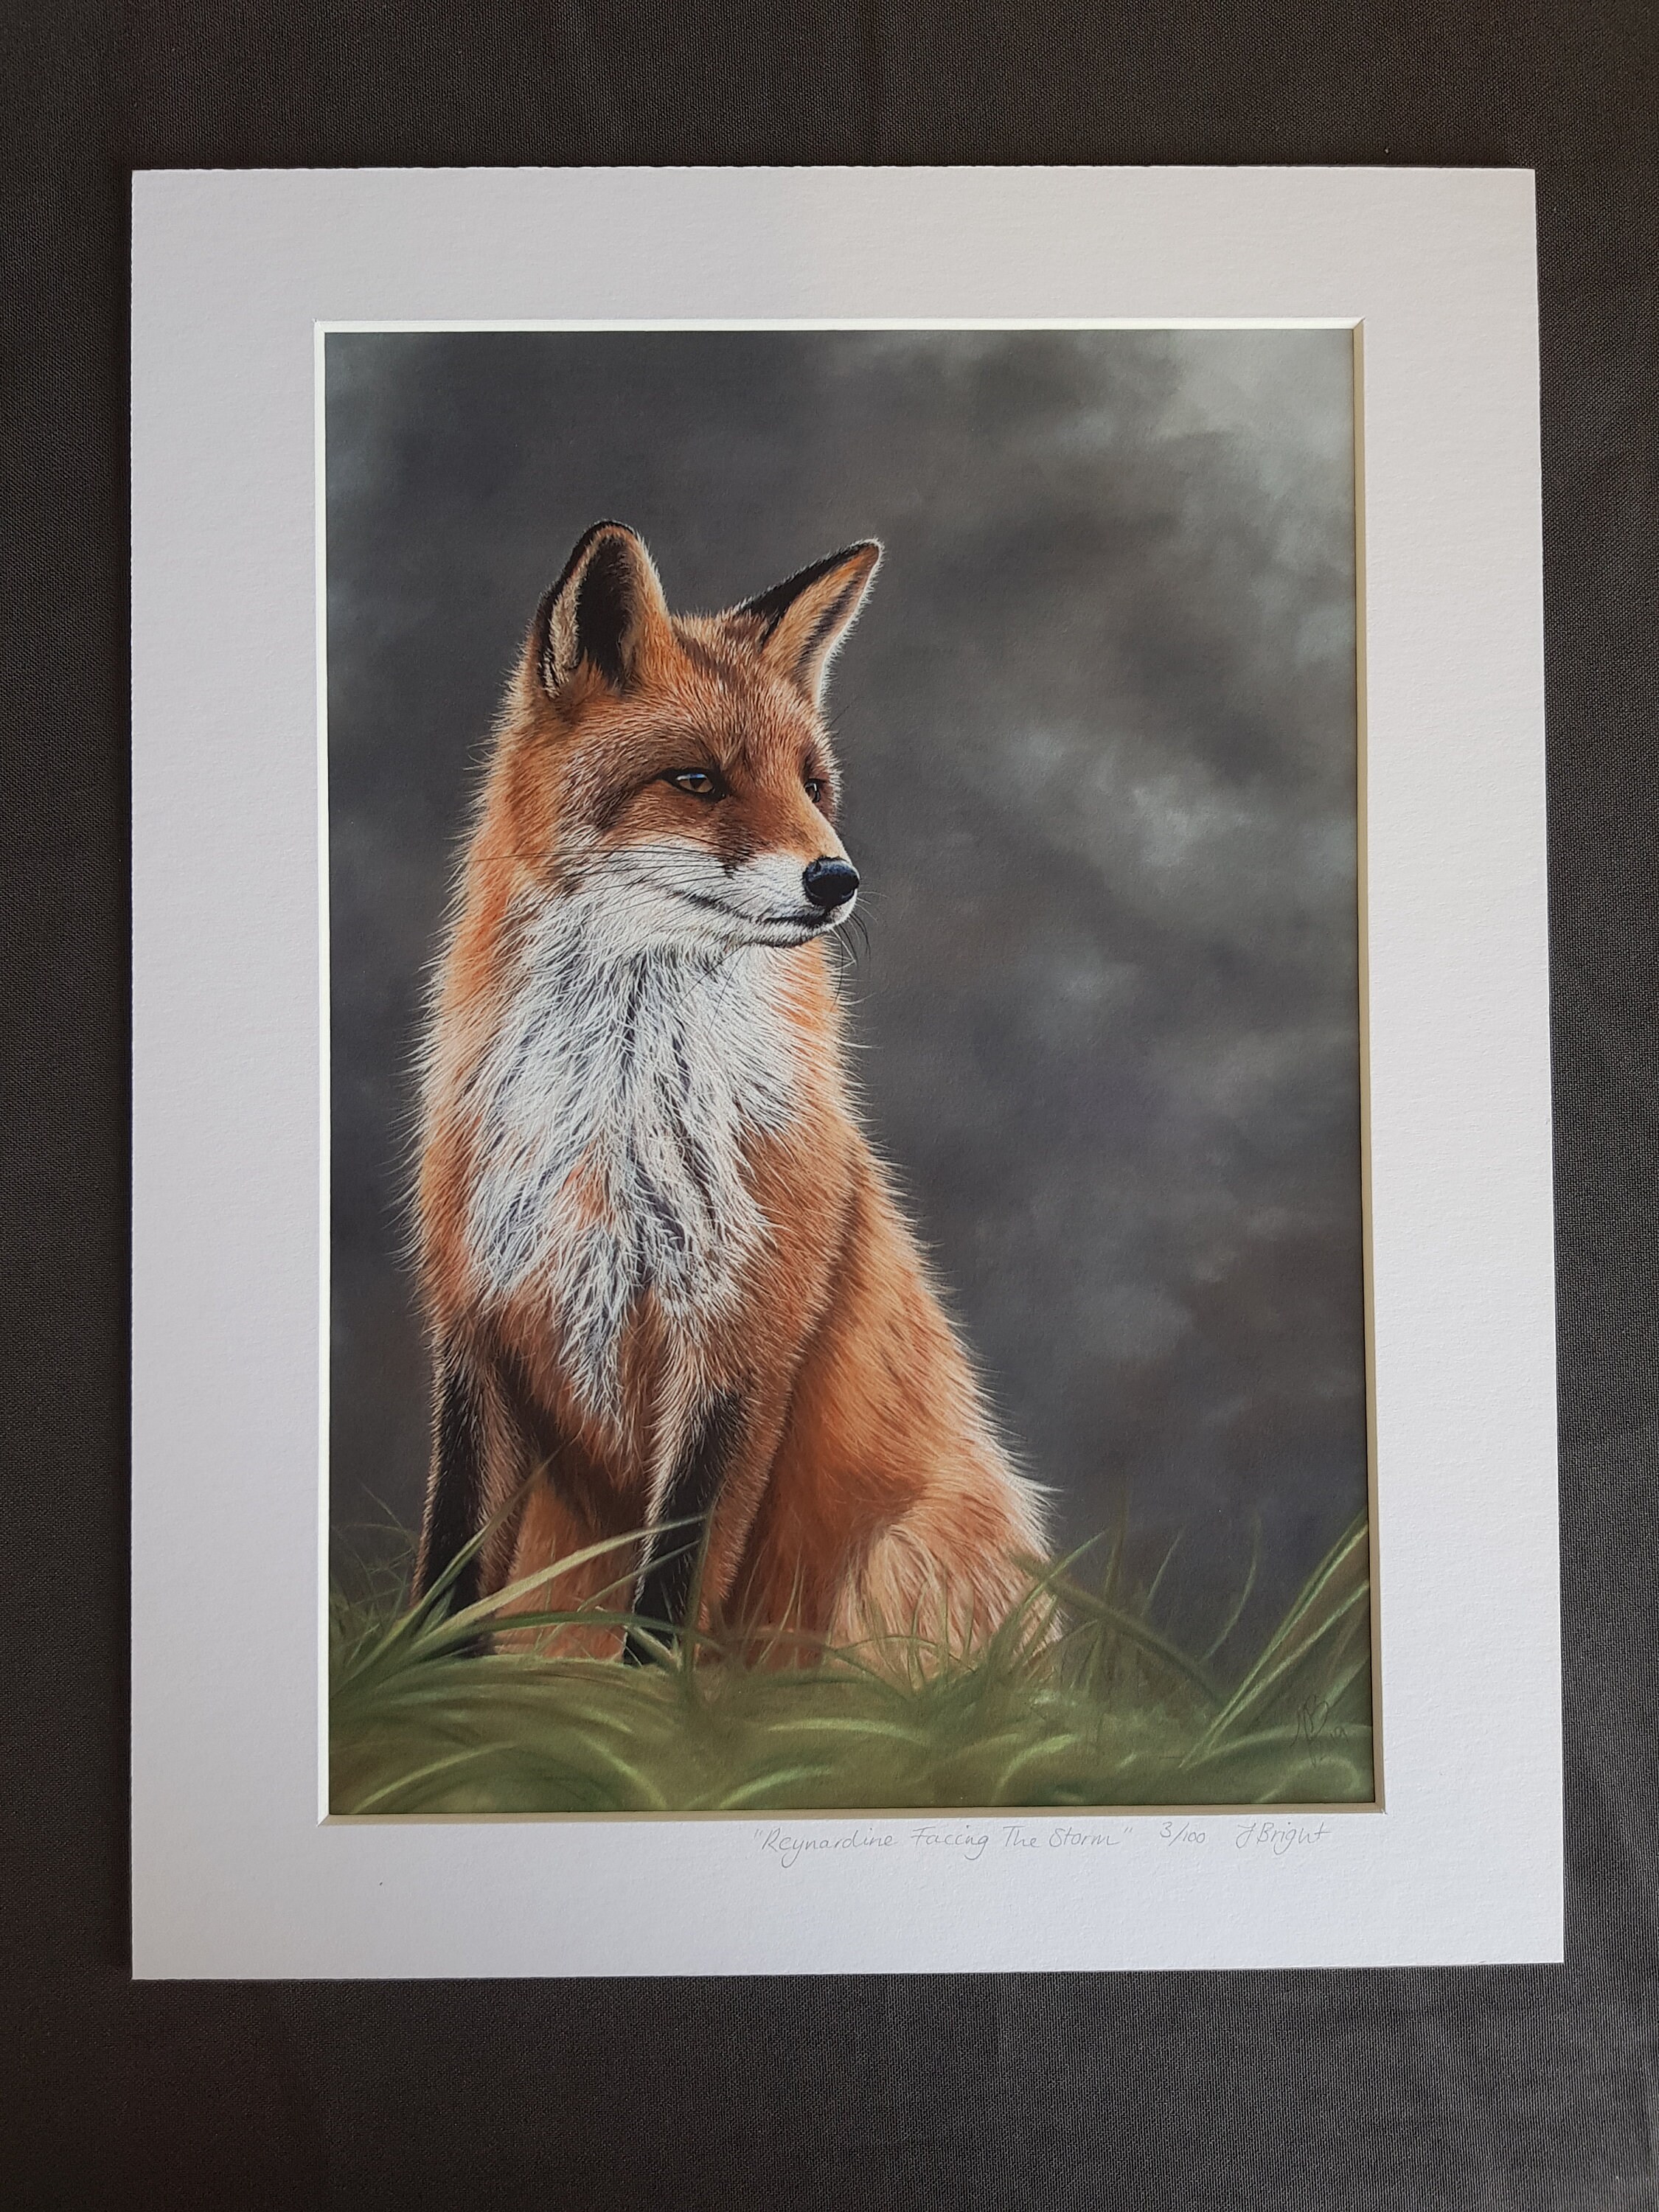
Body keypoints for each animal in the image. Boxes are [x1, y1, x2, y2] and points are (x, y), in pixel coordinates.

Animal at [410, 520, 1049, 1668]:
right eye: (698, 780)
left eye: (813, 784)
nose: (836, 880)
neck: (613, 1139)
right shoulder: (478, 1325)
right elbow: (449, 1567)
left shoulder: (741, 1338)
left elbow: (673, 1588)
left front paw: (641, 1717)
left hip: (893, 1572)